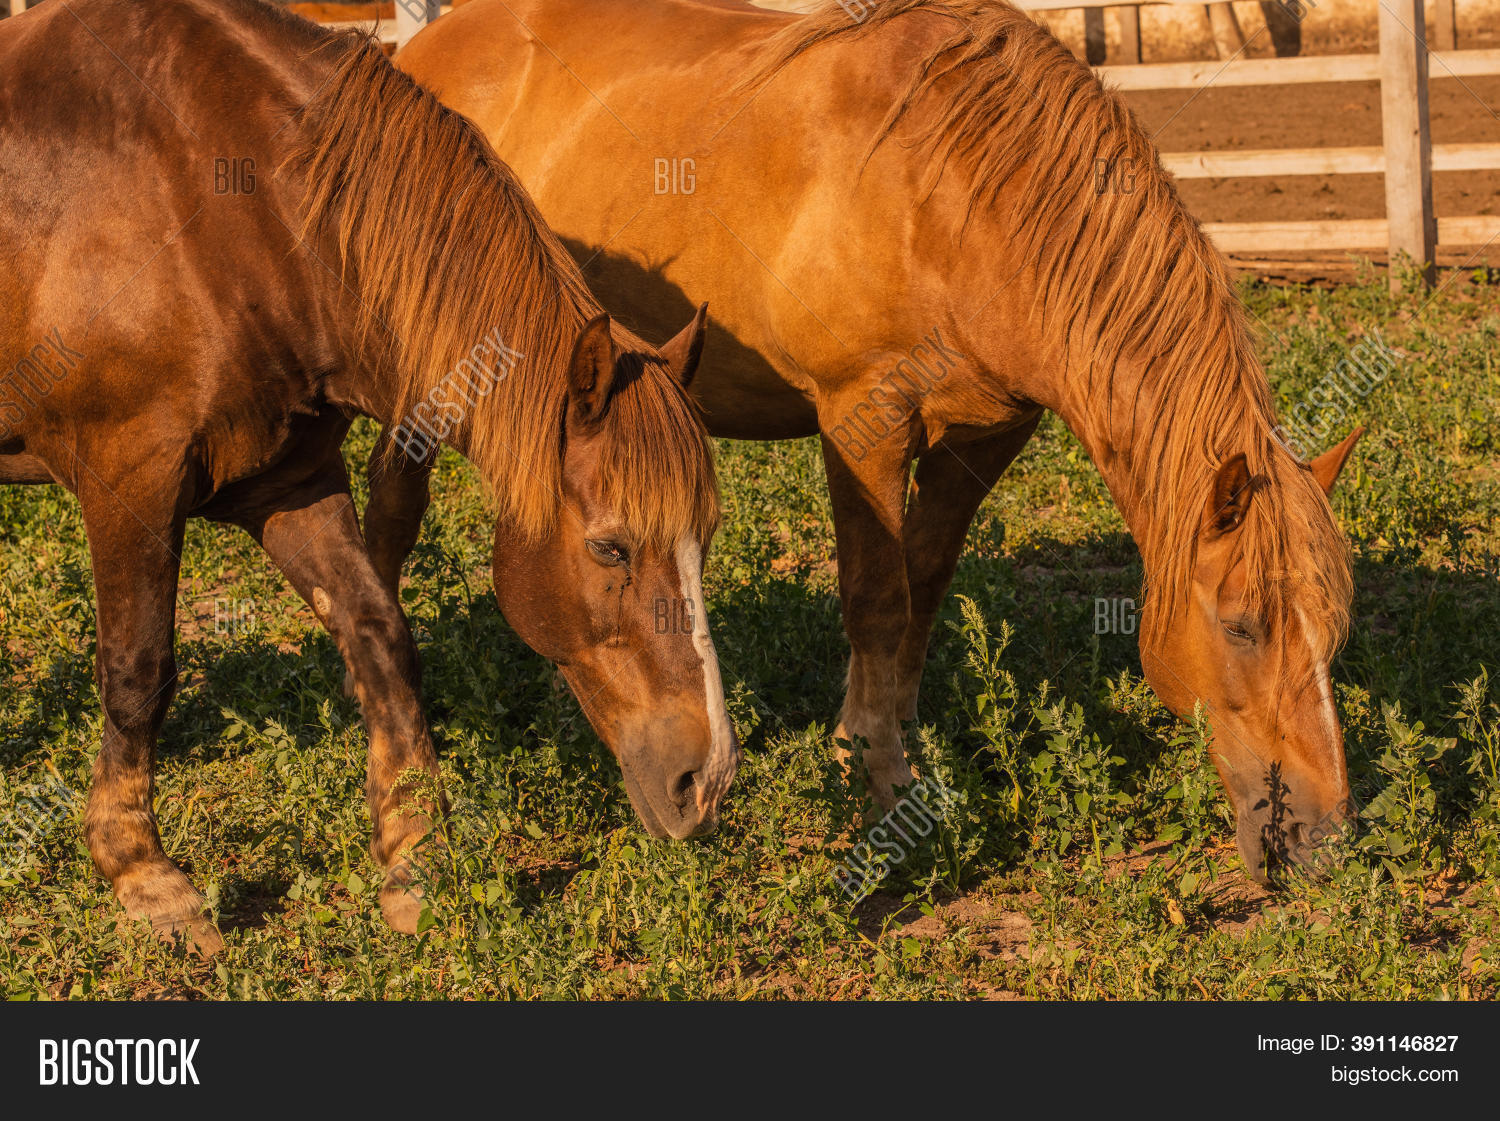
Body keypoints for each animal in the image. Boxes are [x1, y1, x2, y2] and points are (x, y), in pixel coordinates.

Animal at [0, 0, 735, 953]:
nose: (707, 780)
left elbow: (380, 637)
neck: (211, 201)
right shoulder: (132, 478)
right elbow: (138, 669)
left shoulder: (287, 481)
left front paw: (412, 860)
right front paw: (144, 872)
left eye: (704, 539)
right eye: (611, 548)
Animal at [388, 0, 1364, 878]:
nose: (1321, 838)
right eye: (1242, 625)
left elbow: (922, 591)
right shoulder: (864, 422)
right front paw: (880, 786)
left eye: (1335, 626)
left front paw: (896, 744)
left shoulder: (987, 436)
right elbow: (876, 600)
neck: (960, 193)